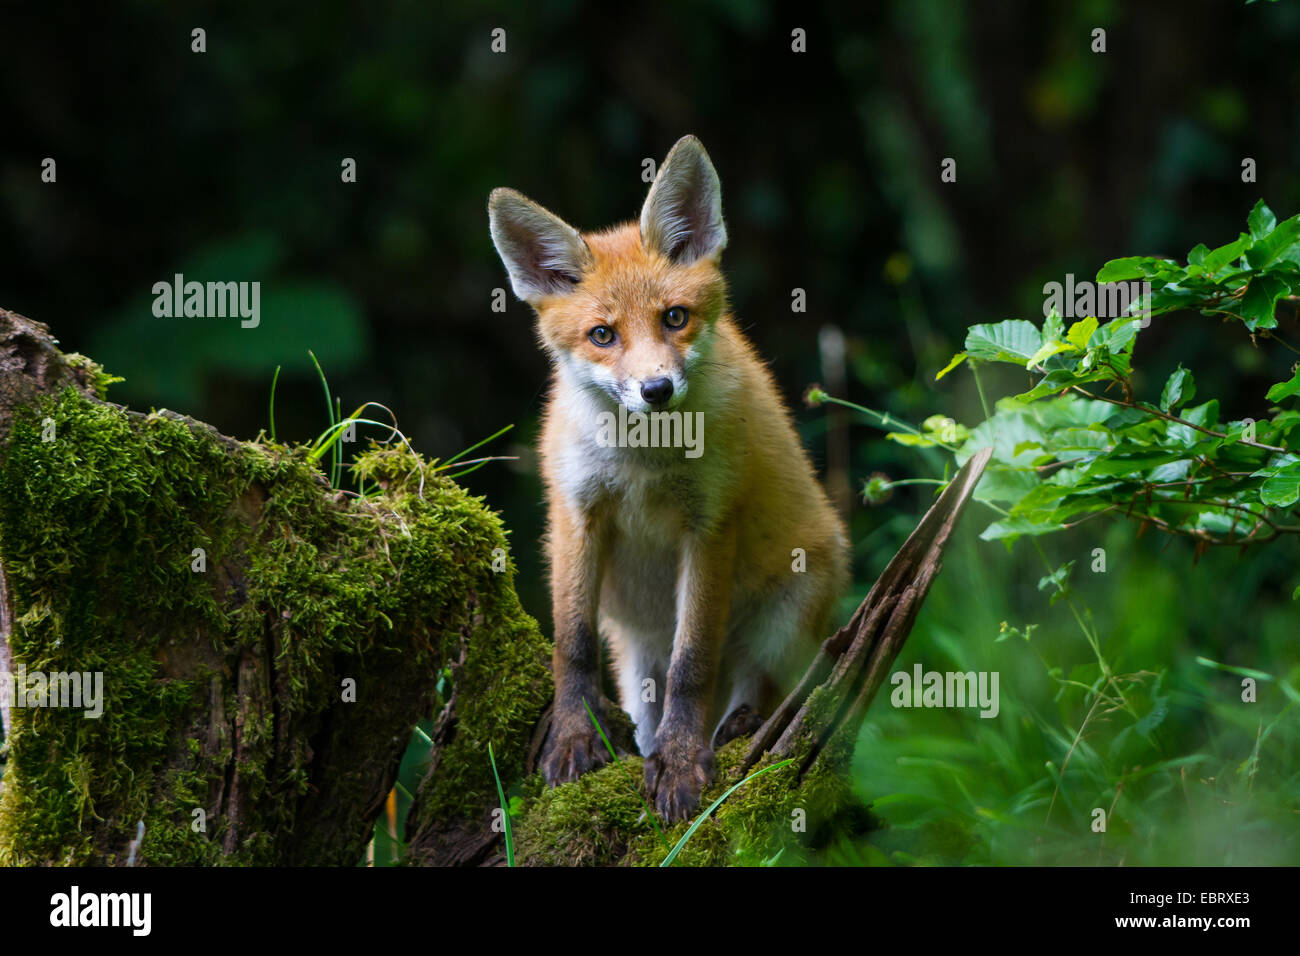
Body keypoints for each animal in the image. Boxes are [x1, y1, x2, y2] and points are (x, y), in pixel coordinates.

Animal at [488, 135, 849, 820]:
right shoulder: (576, 513)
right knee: (643, 703)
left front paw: (681, 762)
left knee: (754, 686)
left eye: (675, 318)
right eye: (603, 334)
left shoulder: (709, 526)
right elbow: (572, 645)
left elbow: (693, 665)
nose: (656, 389)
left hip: (793, 601)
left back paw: (736, 726)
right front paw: (574, 738)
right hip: (636, 654)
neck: (642, 464)